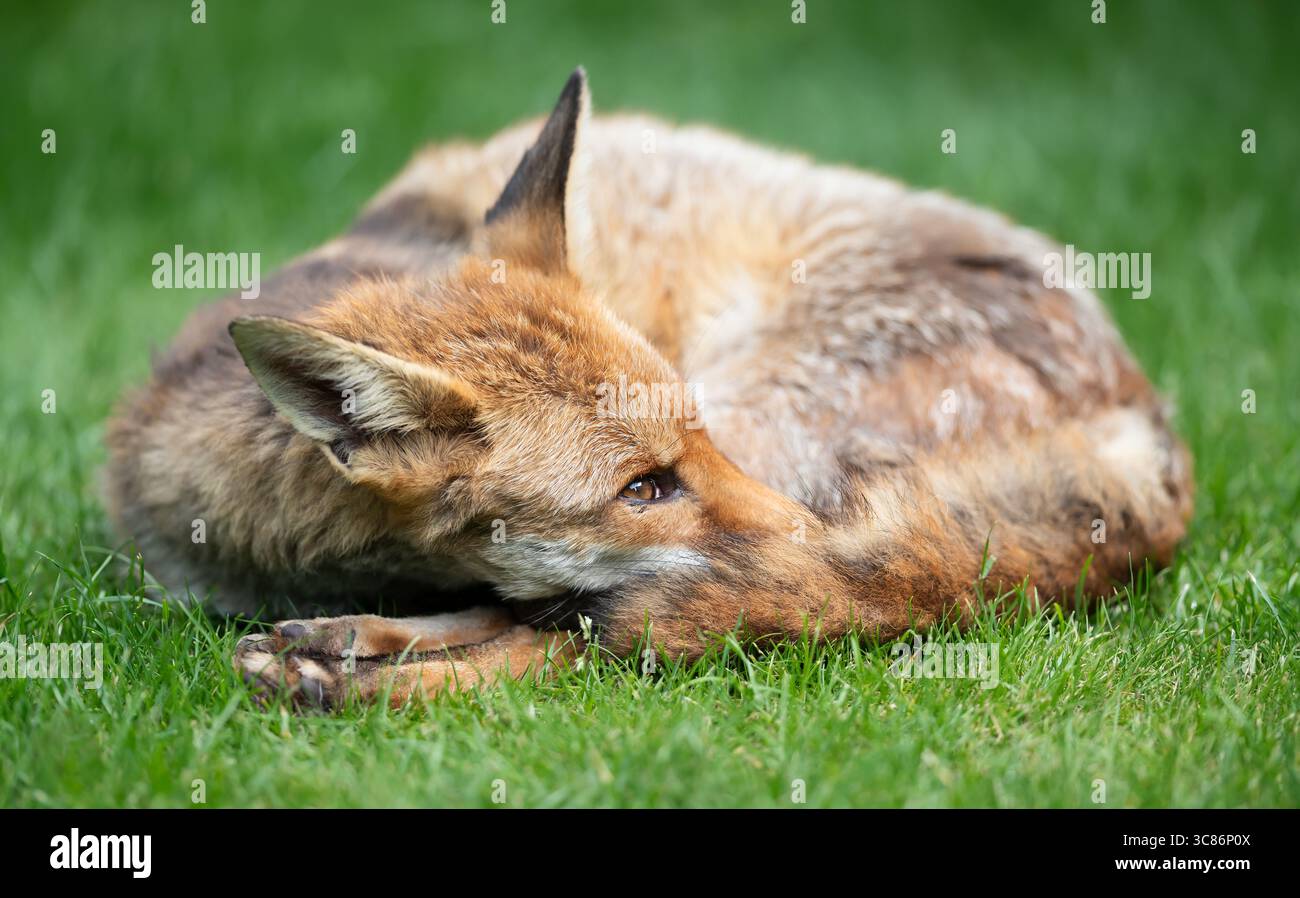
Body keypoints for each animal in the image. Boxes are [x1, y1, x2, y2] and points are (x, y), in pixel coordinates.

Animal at [105, 69, 1193, 707]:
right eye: (643, 487)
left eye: (699, 440)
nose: (809, 531)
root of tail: (1148, 425)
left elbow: (557, 623)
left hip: (776, 414)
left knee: (607, 634)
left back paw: (348, 675)